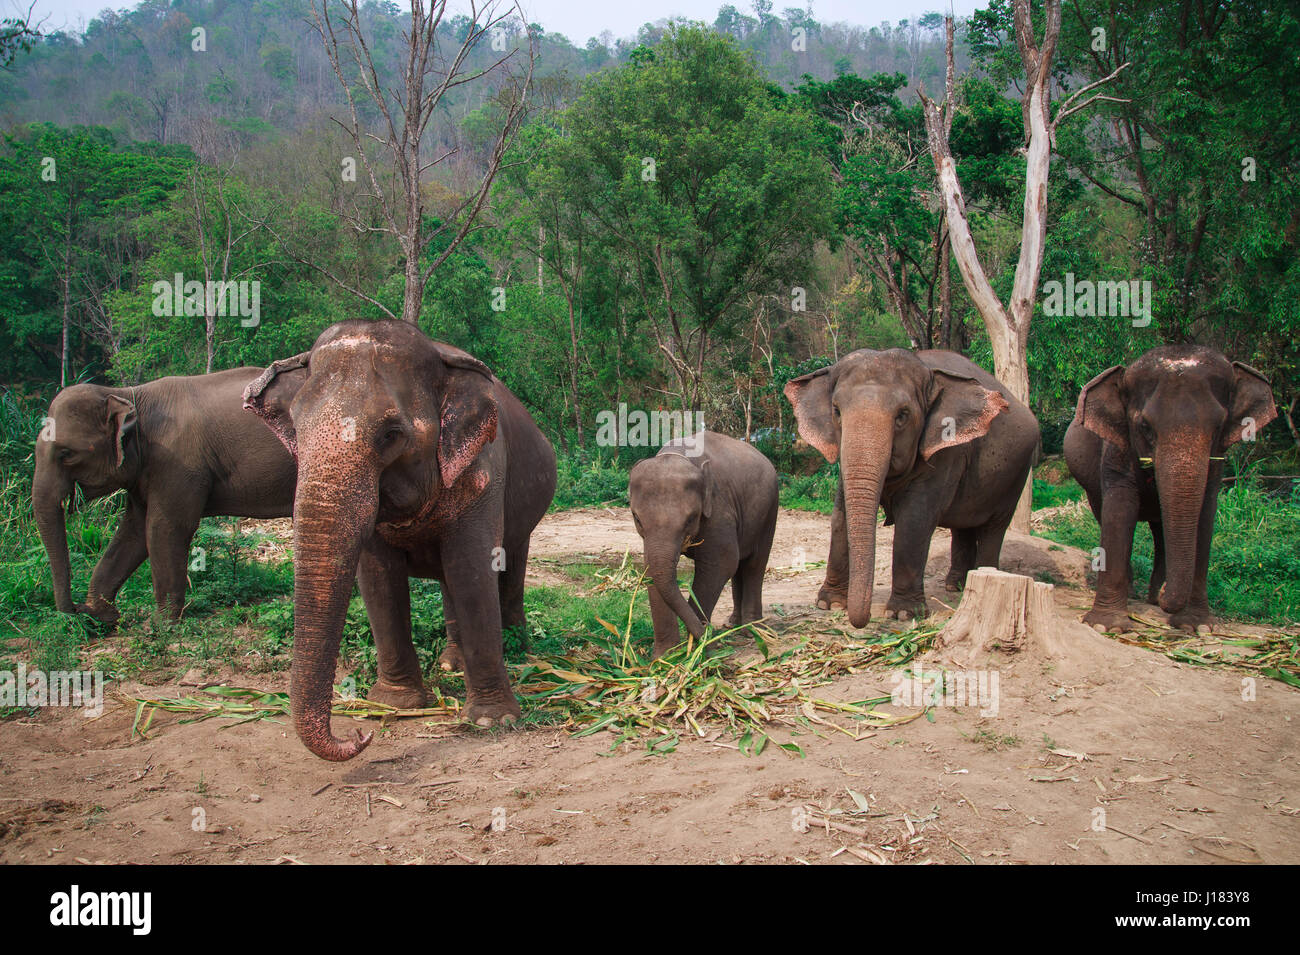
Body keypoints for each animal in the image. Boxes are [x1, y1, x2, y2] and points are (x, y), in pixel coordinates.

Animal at [32, 368, 301, 624]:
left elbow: (165, 528)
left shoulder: (177, 463)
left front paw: (159, 624)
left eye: (66, 454)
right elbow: (134, 531)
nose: (76, 610)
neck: (126, 394)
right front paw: (102, 617)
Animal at [243, 320, 556, 761]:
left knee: (508, 565)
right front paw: (394, 705)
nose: (359, 736)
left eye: (391, 434)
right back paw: (451, 665)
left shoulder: (485, 467)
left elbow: (473, 565)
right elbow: (378, 578)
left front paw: (493, 721)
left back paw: (517, 650)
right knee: (447, 580)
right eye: (297, 429)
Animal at [627, 431, 779, 657]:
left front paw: (700, 650)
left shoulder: (718, 510)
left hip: (770, 511)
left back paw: (753, 630)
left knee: (755, 564)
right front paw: (665, 658)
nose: (713, 645)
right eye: (637, 518)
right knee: (740, 567)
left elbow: (721, 564)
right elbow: (651, 570)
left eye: (691, 518)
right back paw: (732, 624)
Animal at [784, 348, 1040, 627]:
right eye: (837, 411)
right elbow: (840, 516)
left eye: (902, 415)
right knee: (963, 527)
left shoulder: (947, 451)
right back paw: (956, 586)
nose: (862, 619)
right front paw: (828, 604)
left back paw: (981, 577)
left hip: (1017, 475)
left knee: (994, 527)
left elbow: (915, 519)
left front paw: (904, 614)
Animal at [1064, 345, 1277, 633]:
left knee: (1161, 529)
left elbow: (1204, 518)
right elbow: (1119, 511)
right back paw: (1137, 592)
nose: (1167, 592)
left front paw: (1197, 626)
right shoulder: (1116, 451)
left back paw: (1154, 597)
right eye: (1144, 426)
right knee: (1106, 514)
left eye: (1219, 425)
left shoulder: (1216, 464)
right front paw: (1106, 626)